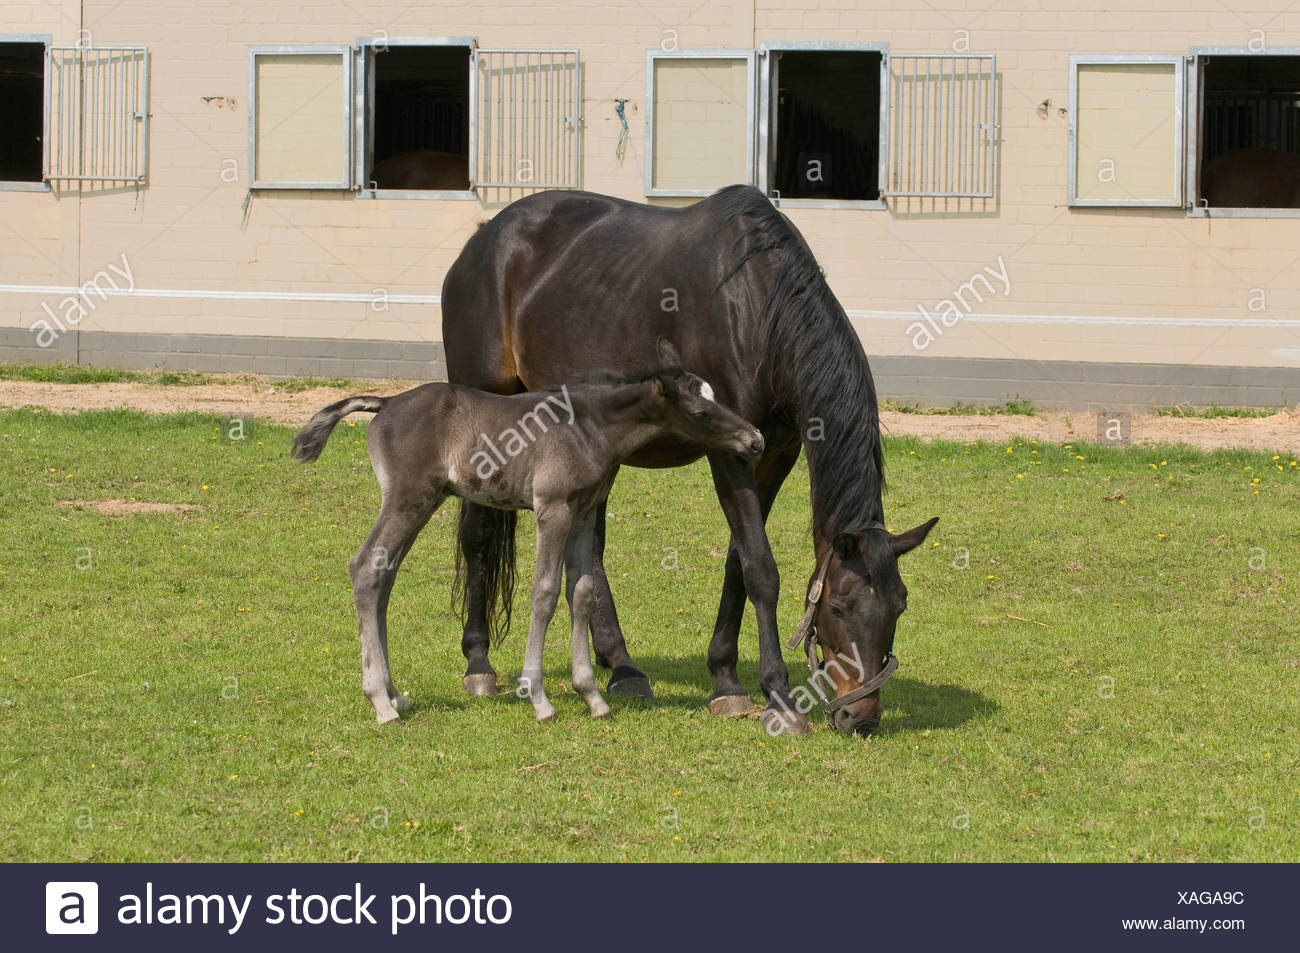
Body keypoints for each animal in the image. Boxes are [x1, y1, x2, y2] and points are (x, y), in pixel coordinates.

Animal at [291, 340, 765, 724]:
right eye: (701, 412)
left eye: (716, 395)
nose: (755, 440)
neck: (588, 426)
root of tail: (385, 402)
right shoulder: (552, 510)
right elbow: (544, 592)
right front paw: (538, 698)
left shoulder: (583, 515)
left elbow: (581, 593)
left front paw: (593, 698)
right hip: (408, 498)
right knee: (365, 567)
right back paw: (380, 702)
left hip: (424, 501)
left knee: (383, 575)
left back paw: (394, 695)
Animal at [441, 185, 938, 737]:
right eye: (837, 606)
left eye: (900, 606)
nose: (861, 718)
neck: (756, 309)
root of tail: (484, 240)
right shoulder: (730, 453)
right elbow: (761, 568)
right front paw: (779, 695)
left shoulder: (775, 455)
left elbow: (738, 562)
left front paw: (725, 678)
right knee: (479, 535)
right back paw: (479, 663)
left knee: (589, 555)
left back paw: (622, 668)